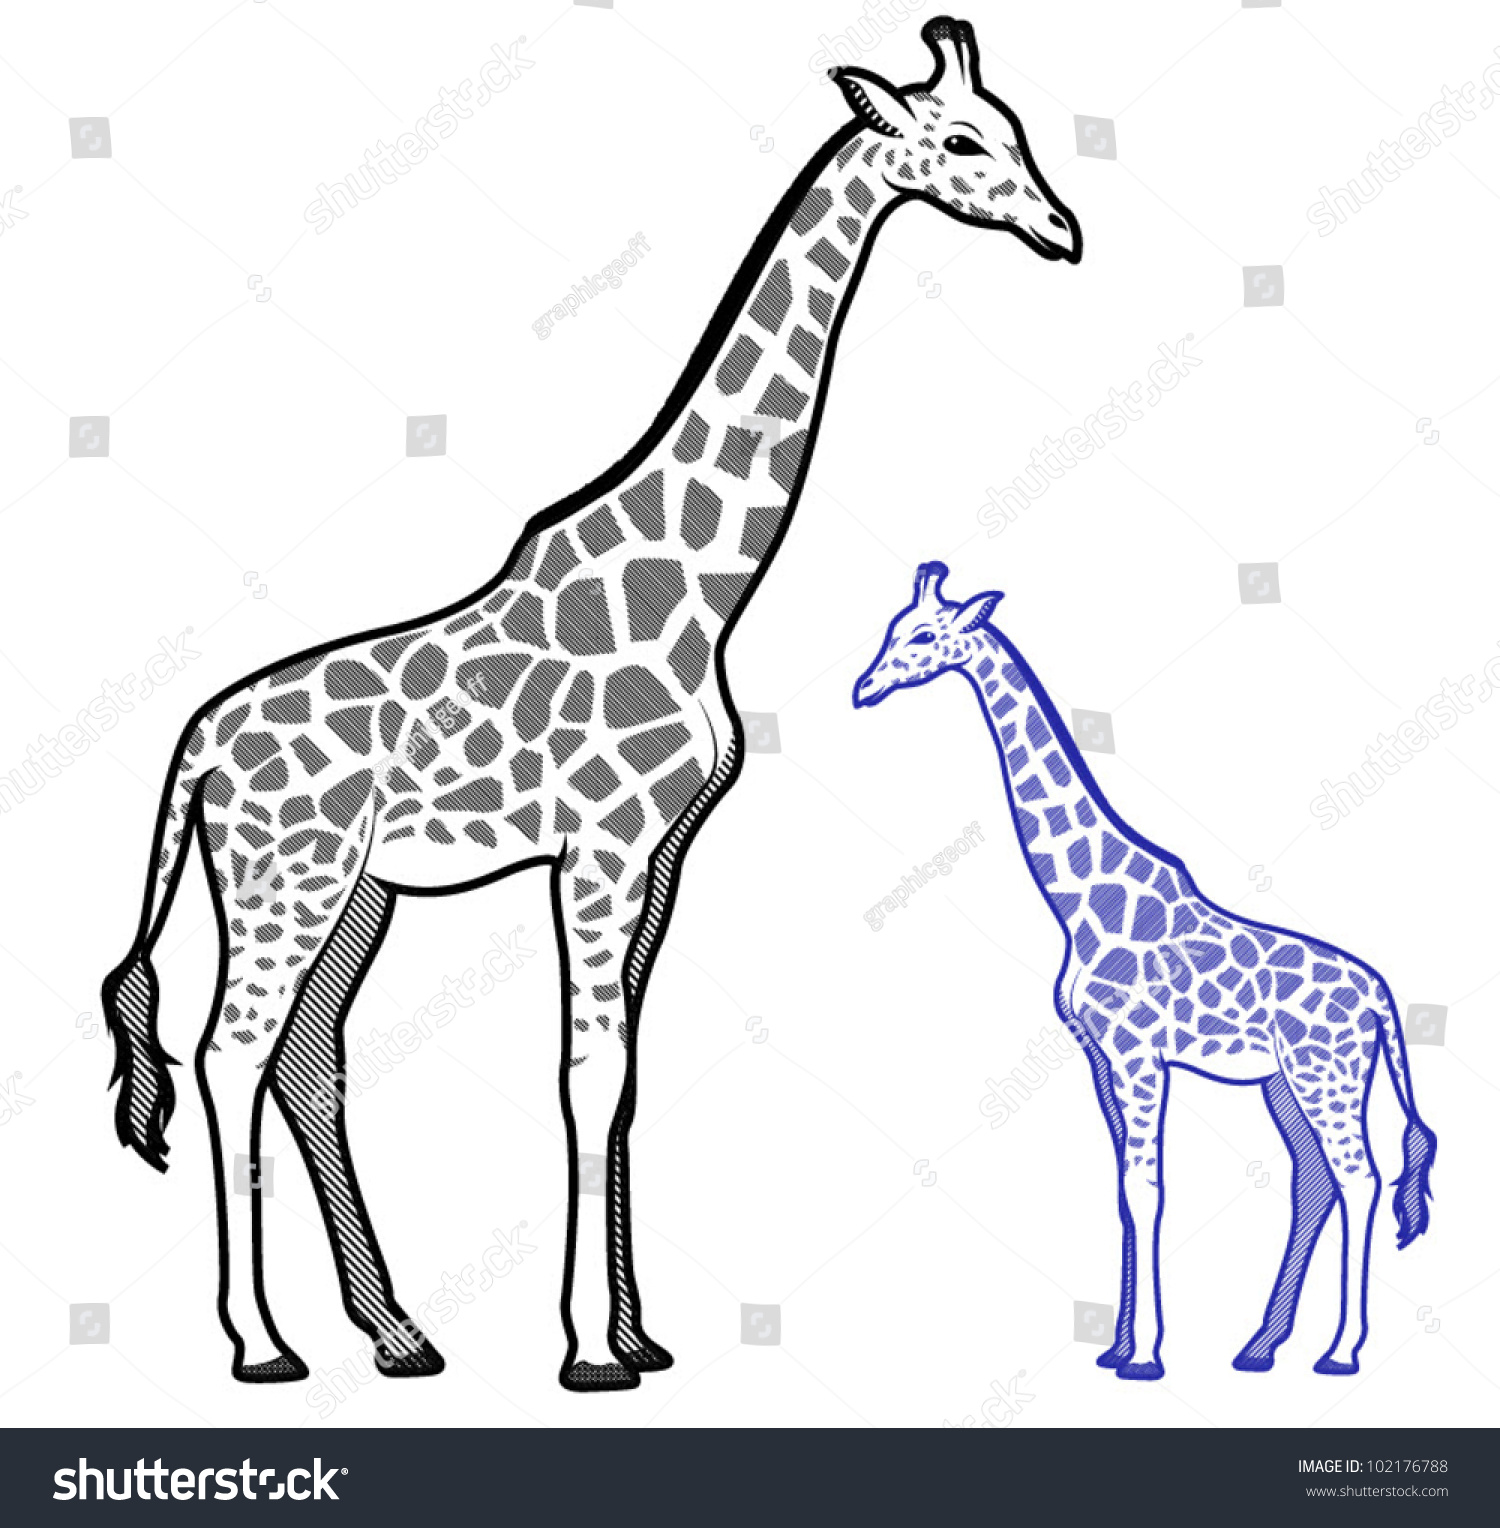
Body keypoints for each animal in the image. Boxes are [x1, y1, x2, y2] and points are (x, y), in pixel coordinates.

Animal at [101, 20, 1082, 1392]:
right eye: (957, 141)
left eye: (1019, 129)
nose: (1063, 229)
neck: (703, 588)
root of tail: (194, 746)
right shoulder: (602, 847)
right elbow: (583, 1068)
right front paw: (587, 1353)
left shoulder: (664, 851)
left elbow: (622, 1073)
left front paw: (636, 1335)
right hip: (279, 874)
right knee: (228, 1052)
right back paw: (261, 1345)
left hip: (359, 886)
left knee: (306, 1056)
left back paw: (398, 1335)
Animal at [853, 563, 1437, 1380]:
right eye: (891, 629)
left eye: (927, 636)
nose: (864, 688)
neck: (1078, 902)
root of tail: (1381, 996)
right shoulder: (1099, 1057)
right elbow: (1125, 1192)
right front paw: (1121, 1347)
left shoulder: (1137, 1054)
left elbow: (1148, 1187)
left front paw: (1146, 1357)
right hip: (1282, 1079)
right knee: (1316, 1180)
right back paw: (1260, 1347)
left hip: (1330, 1070)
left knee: (1361, 1178)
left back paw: (1341, 1351)